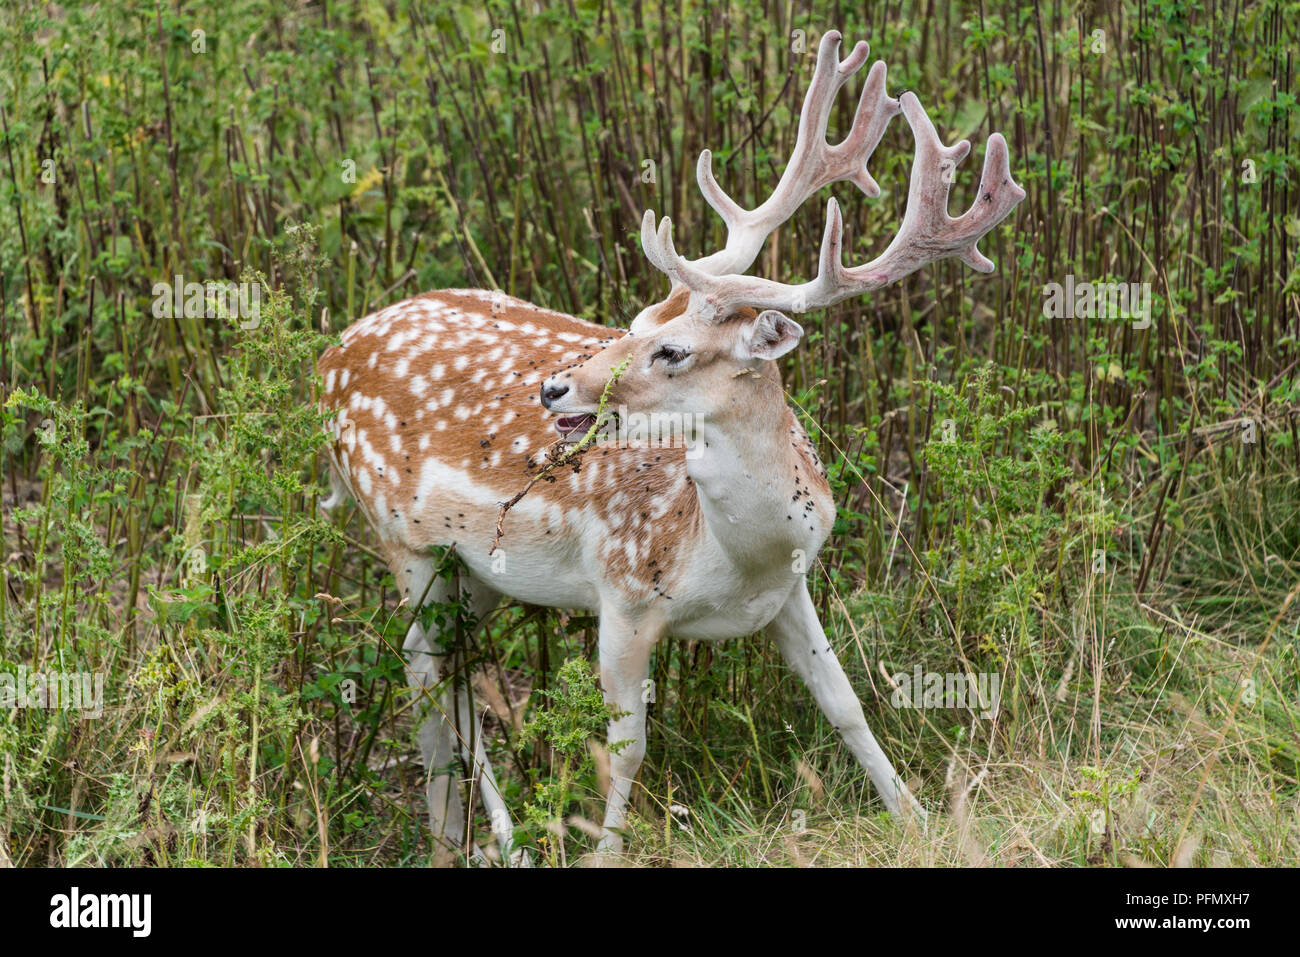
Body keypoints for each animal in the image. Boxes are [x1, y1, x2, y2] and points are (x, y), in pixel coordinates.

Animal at [317, 29, 1023, 865]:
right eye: (632, 324)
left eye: (670, 348)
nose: (555, 388)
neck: (733, 556)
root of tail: (326, 361)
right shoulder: (620, 594)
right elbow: (628, 747)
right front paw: (603, 851)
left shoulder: (790, 587)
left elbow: (844, 699)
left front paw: (917, 818)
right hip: (405, 539)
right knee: (432, 670)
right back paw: (498, 836)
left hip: (475, 572)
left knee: (427, 667)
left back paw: (447, 832)